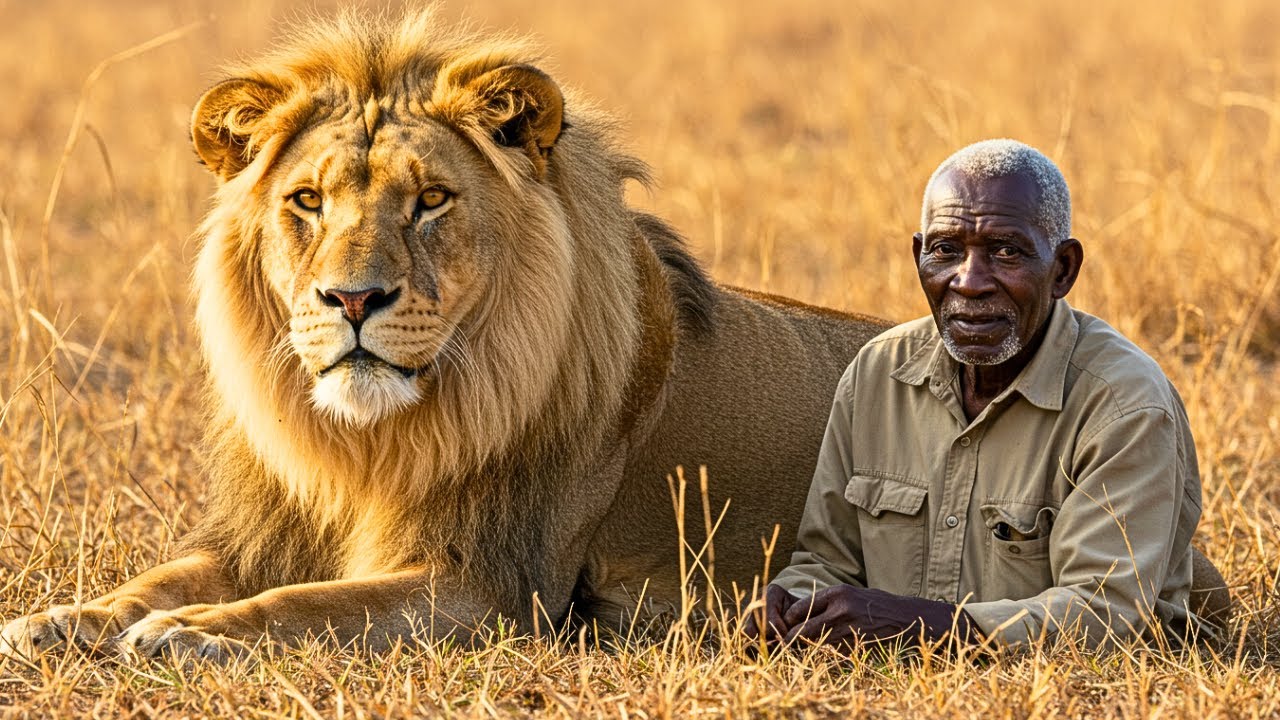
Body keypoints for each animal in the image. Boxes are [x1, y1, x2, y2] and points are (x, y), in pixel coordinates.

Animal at [1, 10, 1229, 661]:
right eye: (306, 201)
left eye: (429, 202)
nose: (353, 301)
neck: (370, 441)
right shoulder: (274, 526)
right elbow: (164, 576)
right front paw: (64, 620)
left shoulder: (490, 585)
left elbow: (312, 605)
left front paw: (194, 635)